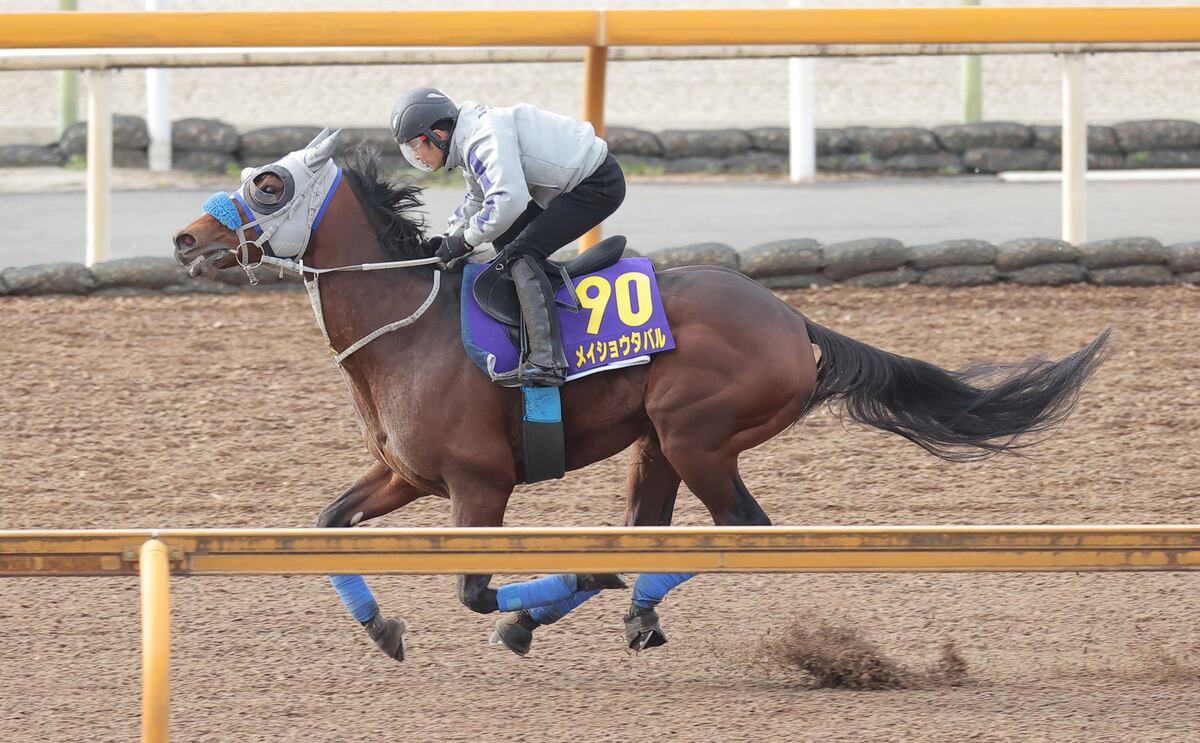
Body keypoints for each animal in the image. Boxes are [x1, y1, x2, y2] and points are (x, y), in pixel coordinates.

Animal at [172, 129, 1111, 662]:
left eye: (267, 183)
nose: (185, 238)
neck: (411, 326)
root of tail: (792, 316)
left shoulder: (479, 485)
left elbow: (473, 589)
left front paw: (513, 610)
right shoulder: (406, 475)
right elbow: (327, 524)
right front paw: (383, 627)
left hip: (697, 435)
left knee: (741, 532)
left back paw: (584, 605)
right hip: (656, 441)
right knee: (647, 533)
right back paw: (612, 609)